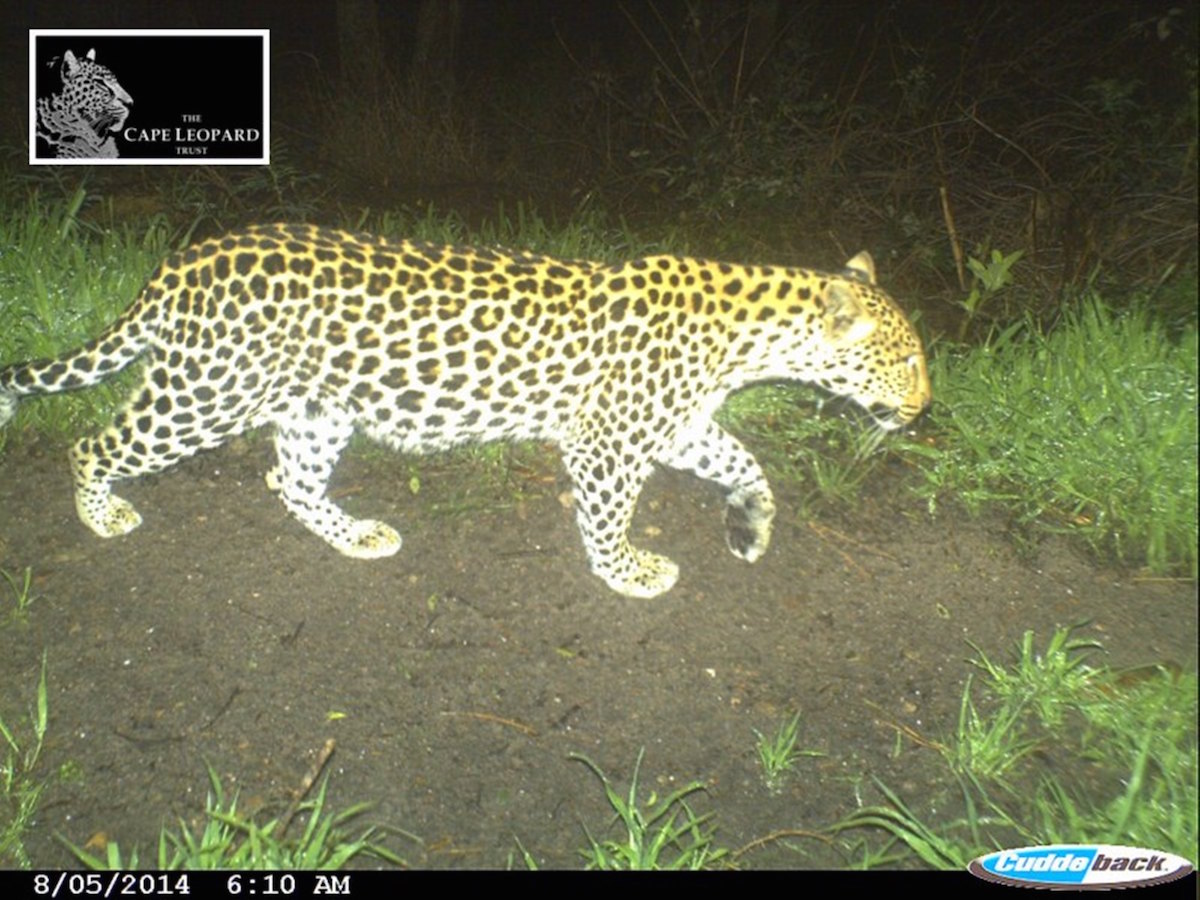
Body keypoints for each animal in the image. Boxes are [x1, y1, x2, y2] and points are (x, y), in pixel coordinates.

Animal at [0, 223, 930, 598]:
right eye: (908, 358)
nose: (926, 406)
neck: (755, 337)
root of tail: (185, 259)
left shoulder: (674, 426)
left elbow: (748, 464)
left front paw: (750, 527)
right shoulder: (607, 444)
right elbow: (607, 516)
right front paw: (626, 573)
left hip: (317, 404)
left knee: (289, 480)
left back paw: (357, 536)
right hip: (204, 393)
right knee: (93, 444)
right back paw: (100, 513)